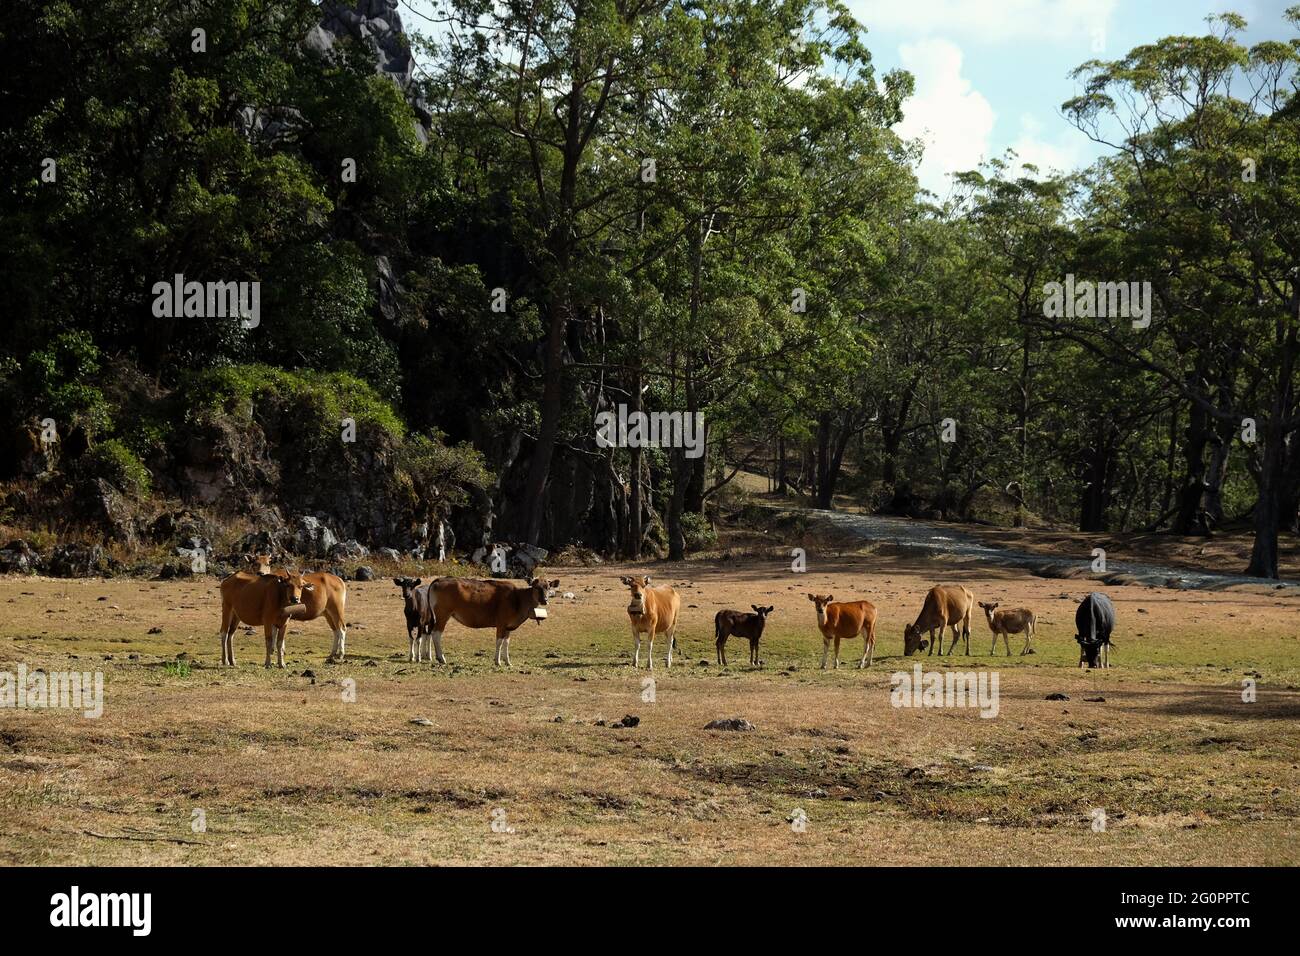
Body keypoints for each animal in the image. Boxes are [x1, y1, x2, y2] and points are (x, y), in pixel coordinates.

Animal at [420, 576, 558, 666]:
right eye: (536, 587)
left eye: (548, 587)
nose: (545, 600)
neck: (517, 598)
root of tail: (438, 580)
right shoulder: (501, 624)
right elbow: (499, 642)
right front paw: (498, 661)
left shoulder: (508, 627)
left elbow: (507, 642)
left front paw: (508, 661)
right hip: (443, 615)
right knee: (436, 634)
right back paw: (441, 658)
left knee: (429, 633)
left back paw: (429, 656)